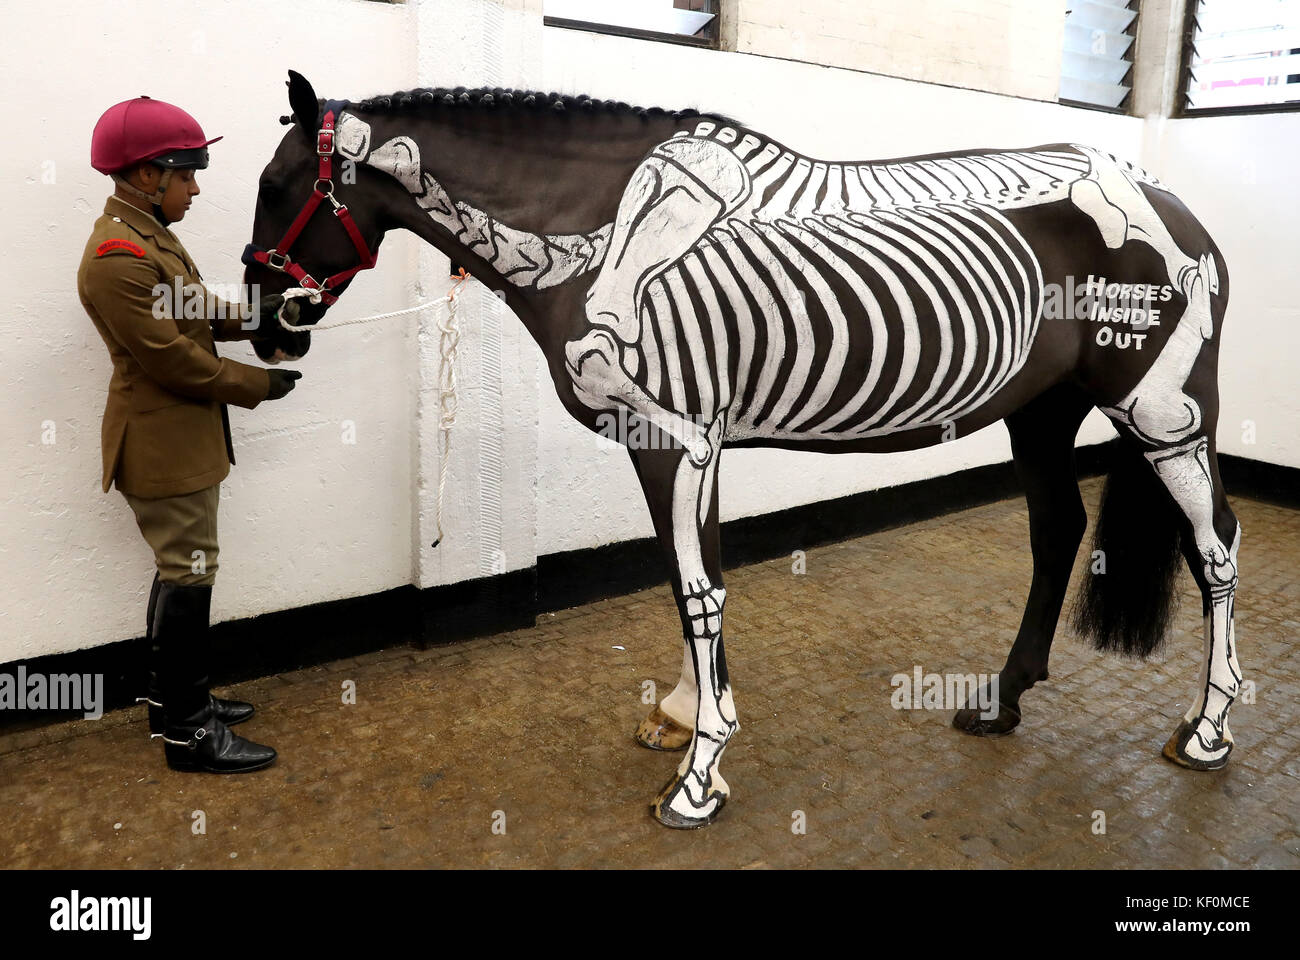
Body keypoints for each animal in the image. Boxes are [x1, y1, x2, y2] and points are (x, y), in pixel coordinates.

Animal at [243, 71, 1241, 829]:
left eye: (277, 190)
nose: (265, 334)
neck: (586, 227)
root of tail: (1166, 197)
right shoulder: (695, 444)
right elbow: (693, 577)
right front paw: (691, 718)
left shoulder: (674, 435)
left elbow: (697, 589)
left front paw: (697, 777)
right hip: (1042, 411)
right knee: (1059, 530)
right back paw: (1004, 701)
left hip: (1160, 408)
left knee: (1215, 544)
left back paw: (1207, 730)